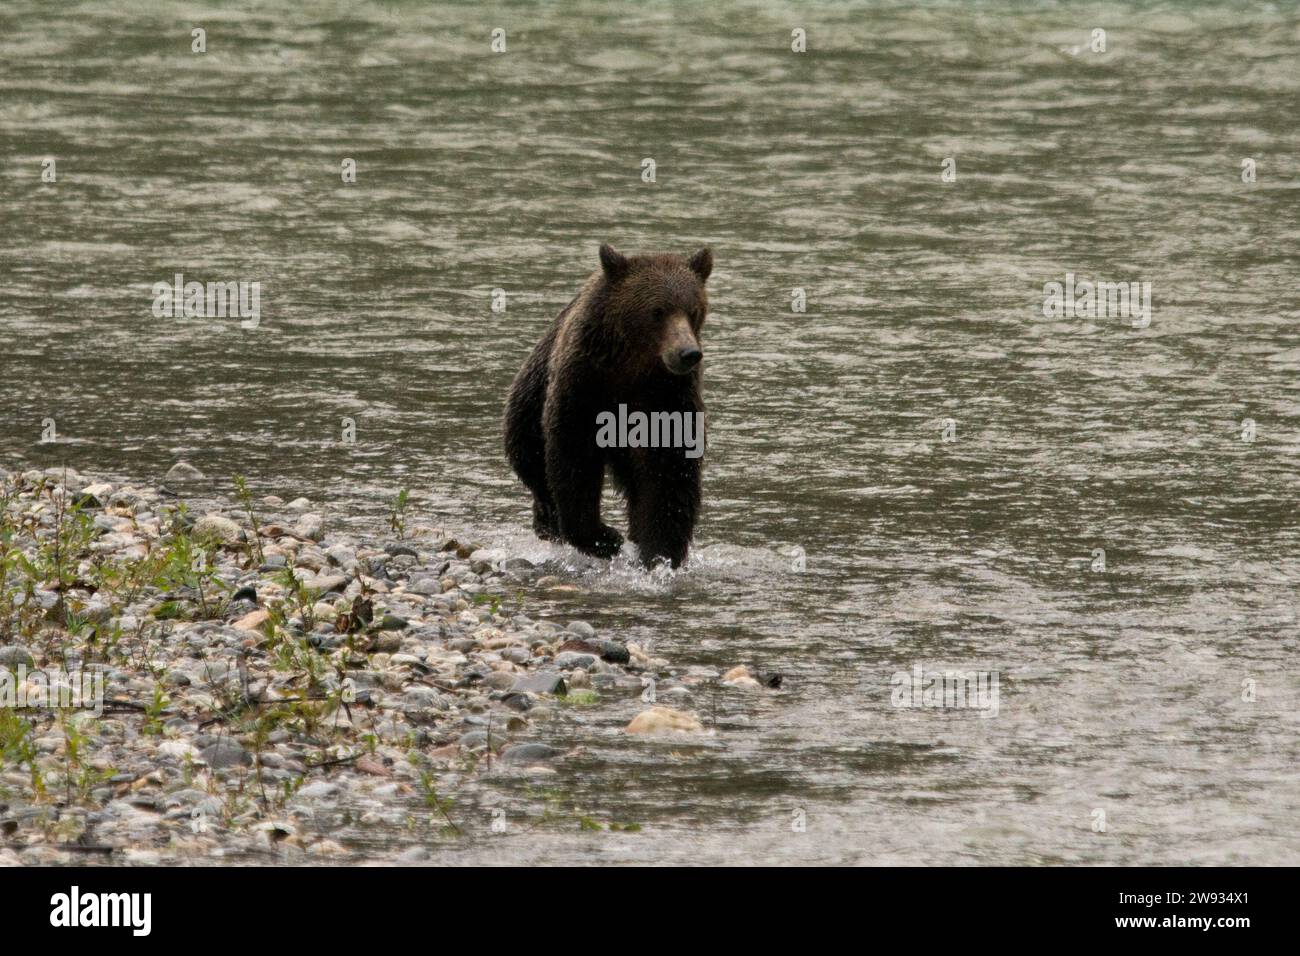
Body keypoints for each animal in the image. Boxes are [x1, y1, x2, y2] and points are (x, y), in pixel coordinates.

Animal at [504, 244, 713, 569]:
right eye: (658, 311)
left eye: (692, 310)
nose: (688, 353)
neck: (632, 366)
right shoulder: (585, 383)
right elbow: (573, 456)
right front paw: (605, 539)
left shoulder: (668, 396)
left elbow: (669, 469)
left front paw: (659, 552)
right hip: (530, 396)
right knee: (529, 456)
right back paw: (548, 521)